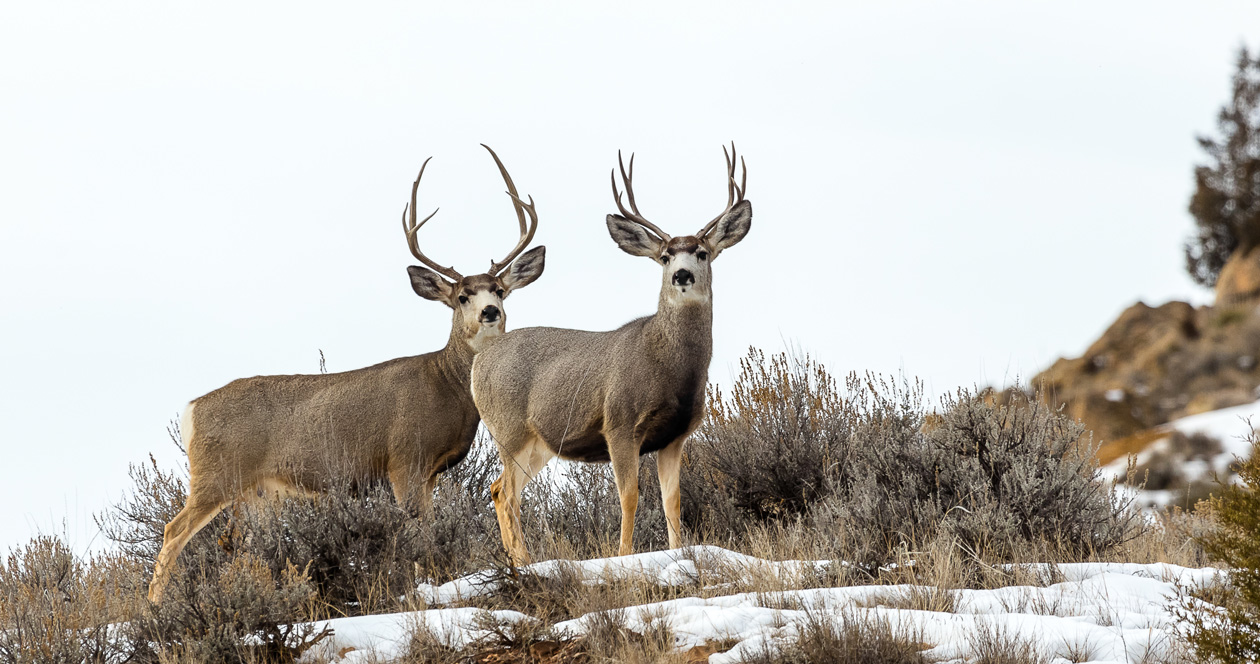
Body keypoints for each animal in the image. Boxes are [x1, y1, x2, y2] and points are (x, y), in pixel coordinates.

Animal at [147, 145, 546, 602]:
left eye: (498, 289)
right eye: (462, 296)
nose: (490, 311)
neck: (445, 382)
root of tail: (191, 409)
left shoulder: (429, 472)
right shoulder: (404, 458)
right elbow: (420, 534)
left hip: (257, 492)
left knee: (238, 544)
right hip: (215, 474)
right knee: (174, 530)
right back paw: (155, 608)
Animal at [470, 144, 752, 565]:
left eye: (702, 252)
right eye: (665, 256)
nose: (682, 275)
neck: (670, 369)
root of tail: (478, 361)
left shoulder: (675, 436)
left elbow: (673, 501)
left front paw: (678, 554)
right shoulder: (619, 423)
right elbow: (629, 496)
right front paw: (623, 556)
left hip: (538, 444)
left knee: (499, 488)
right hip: (510, 429)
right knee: (506, 493)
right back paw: (523, 563)